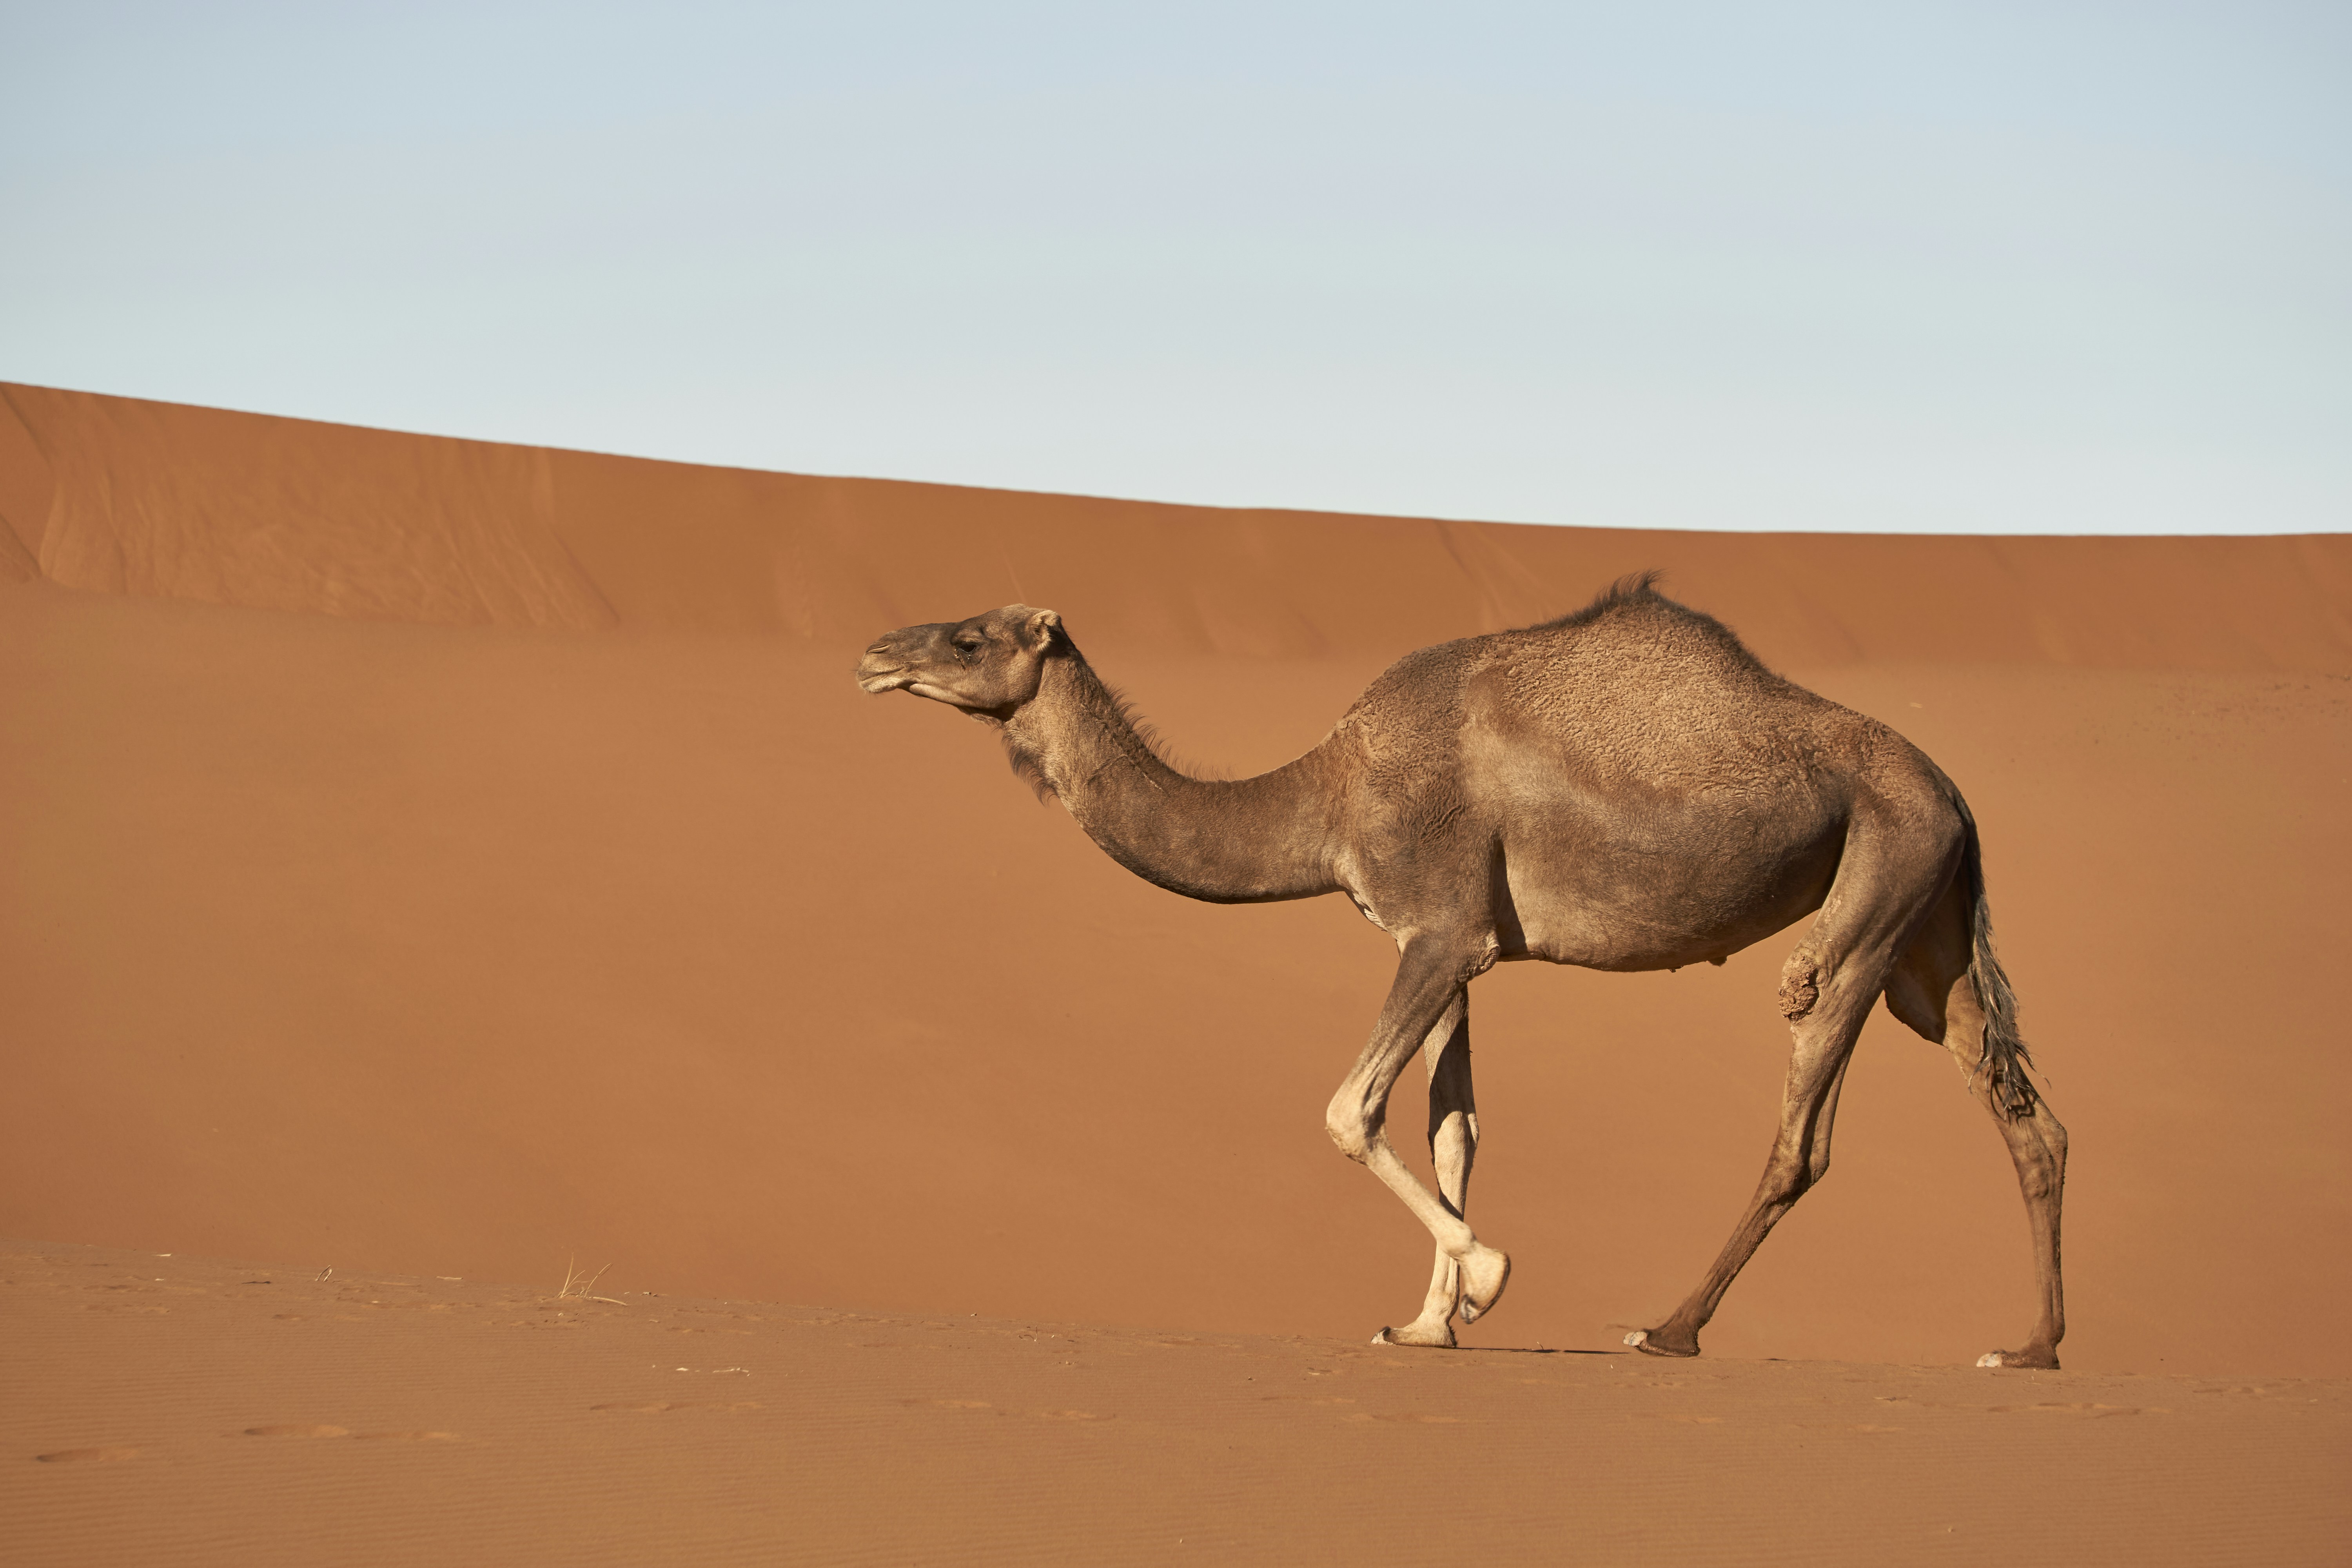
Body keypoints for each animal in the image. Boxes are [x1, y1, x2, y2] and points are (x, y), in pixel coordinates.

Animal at [855, 577, 2067, 1368]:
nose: (874, 656)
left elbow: (1350, 1110)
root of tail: (1954, 792)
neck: (1330, 792)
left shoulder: (1443, 932)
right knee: (2023, 1112)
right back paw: (2032, 1348)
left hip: (1877, 884)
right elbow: (1454, 1129)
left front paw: (1482, 1281)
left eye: (967, 637)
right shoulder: (1445, 939)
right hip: (1928, 927)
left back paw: (1670, 1329)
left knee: (1804, 1121)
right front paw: (1428, 1320)